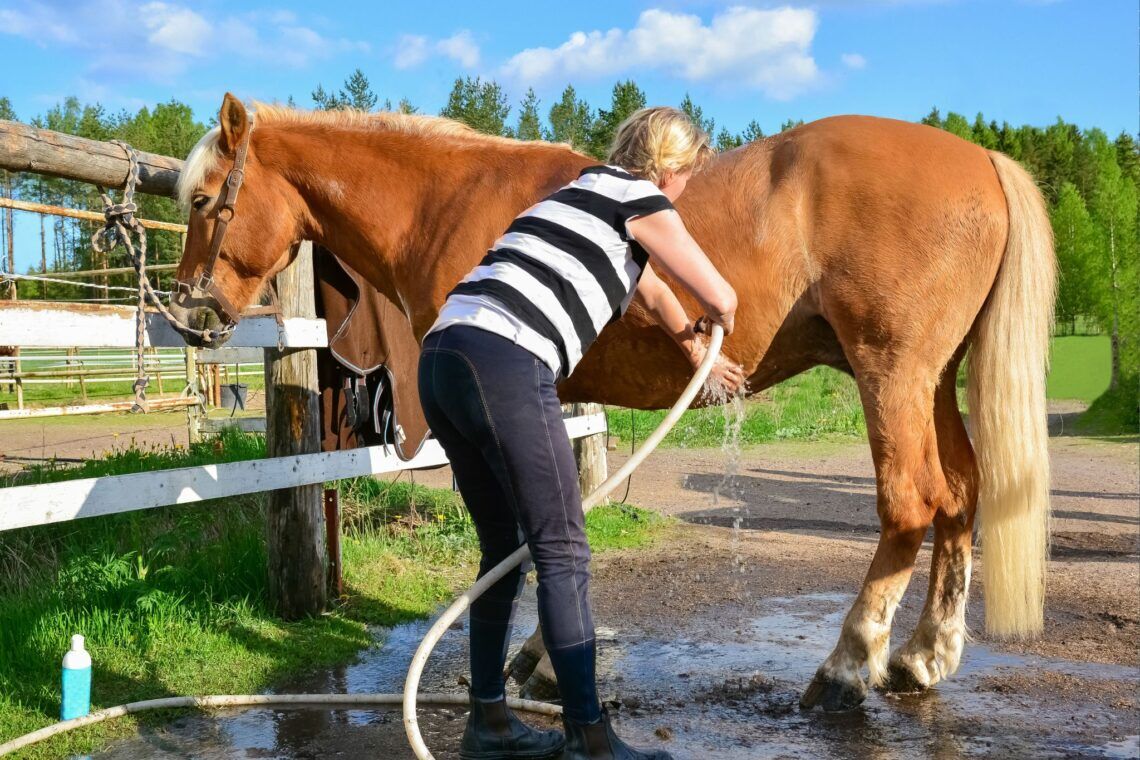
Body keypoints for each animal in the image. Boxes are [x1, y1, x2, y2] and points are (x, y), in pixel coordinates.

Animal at [170, 93, 1054, 712]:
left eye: (205, 200)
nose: (189, 312)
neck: (443, 200)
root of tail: (982, 158)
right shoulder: (556, 397)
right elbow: (567, 520)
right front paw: (546, 657)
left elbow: (528, 534)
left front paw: (534, 661)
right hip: (933, 382)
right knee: (961, 497)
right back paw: (922, 656)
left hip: (891, 375)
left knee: (911, 502)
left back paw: (847, 666)